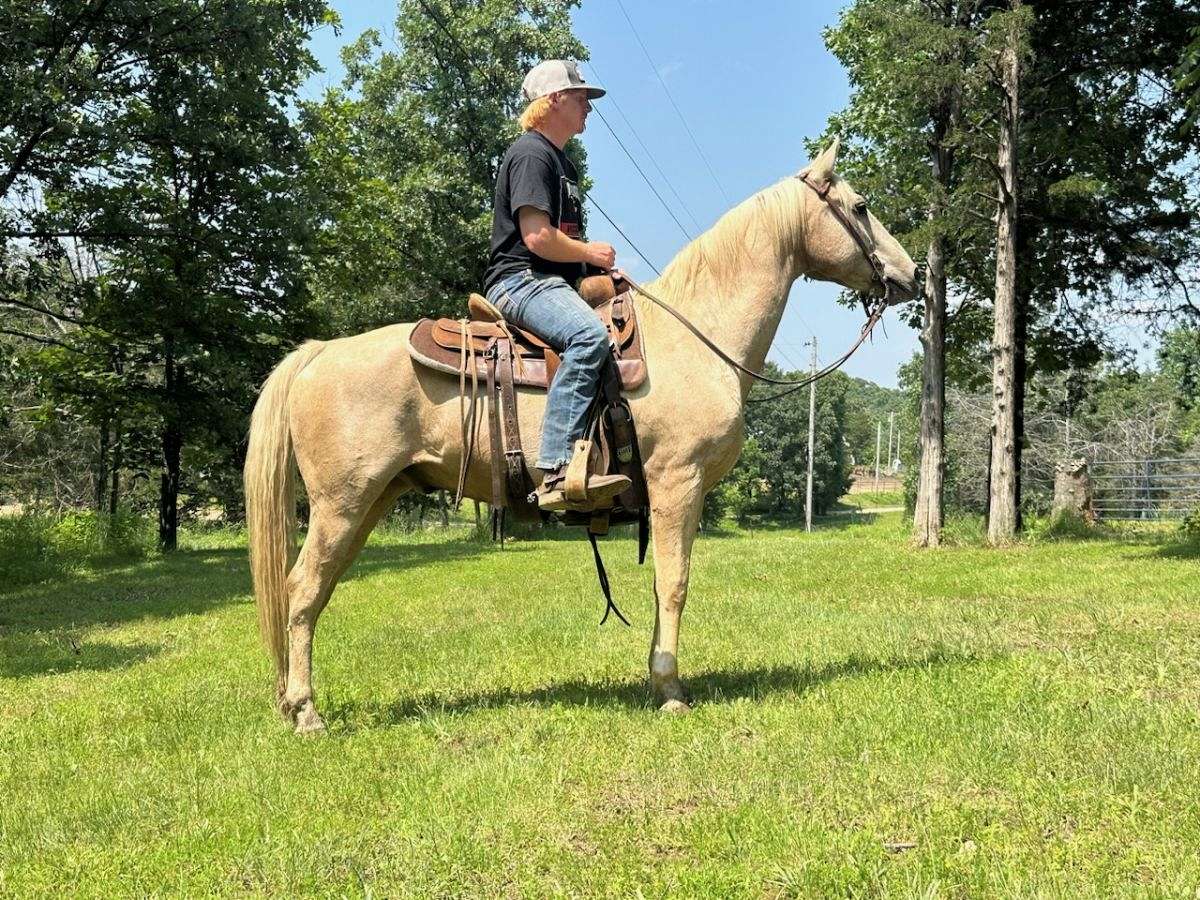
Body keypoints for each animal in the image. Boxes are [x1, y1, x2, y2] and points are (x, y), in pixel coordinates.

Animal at [244, 139, 919, 734]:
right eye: (860, 206)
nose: (912, 273)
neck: (695, 338)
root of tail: (318, 353)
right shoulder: (679, 483)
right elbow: (674, 582)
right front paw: (669, 688)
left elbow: (664, 582)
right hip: (344, 502)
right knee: (301, 590)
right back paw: (306, 713)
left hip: (367, 502)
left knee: (314, 592)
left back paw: (293, 702)